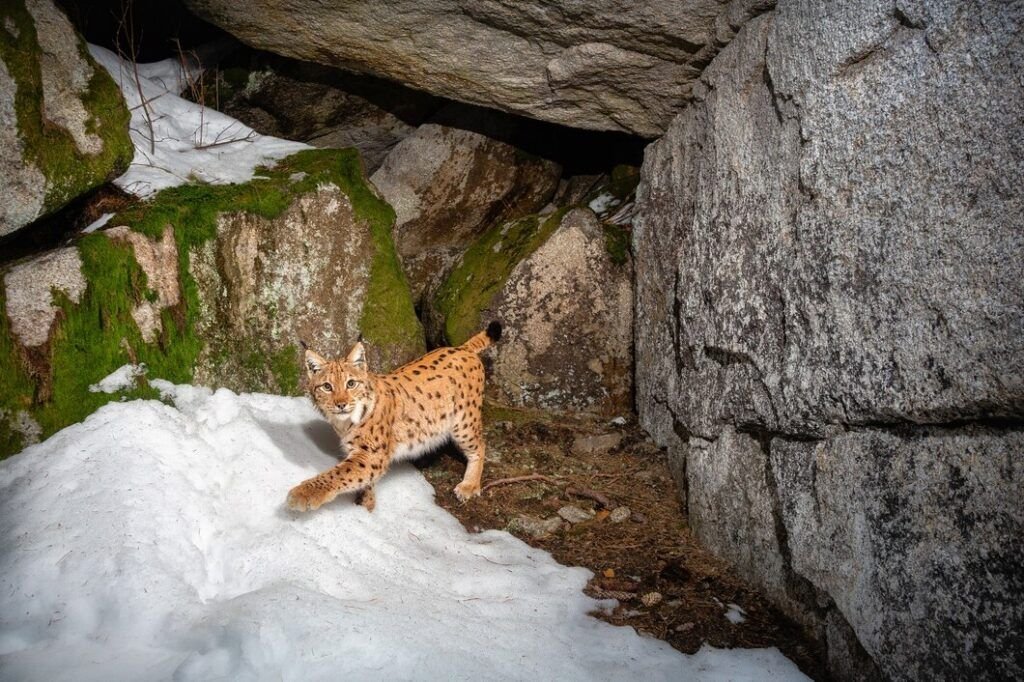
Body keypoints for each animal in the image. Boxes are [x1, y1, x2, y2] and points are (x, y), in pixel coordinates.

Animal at [287, 321, 502, 513]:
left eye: (351, 384)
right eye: (327, 387)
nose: (341, 404)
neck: (346, 421)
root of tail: (462, 348)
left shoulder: (371, 455)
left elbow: (339, 474)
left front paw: (304, 493)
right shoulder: (365, 455)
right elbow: (363, 481)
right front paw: (366, 506)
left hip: (464, 422)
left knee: (480, 446)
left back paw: (469, 485)